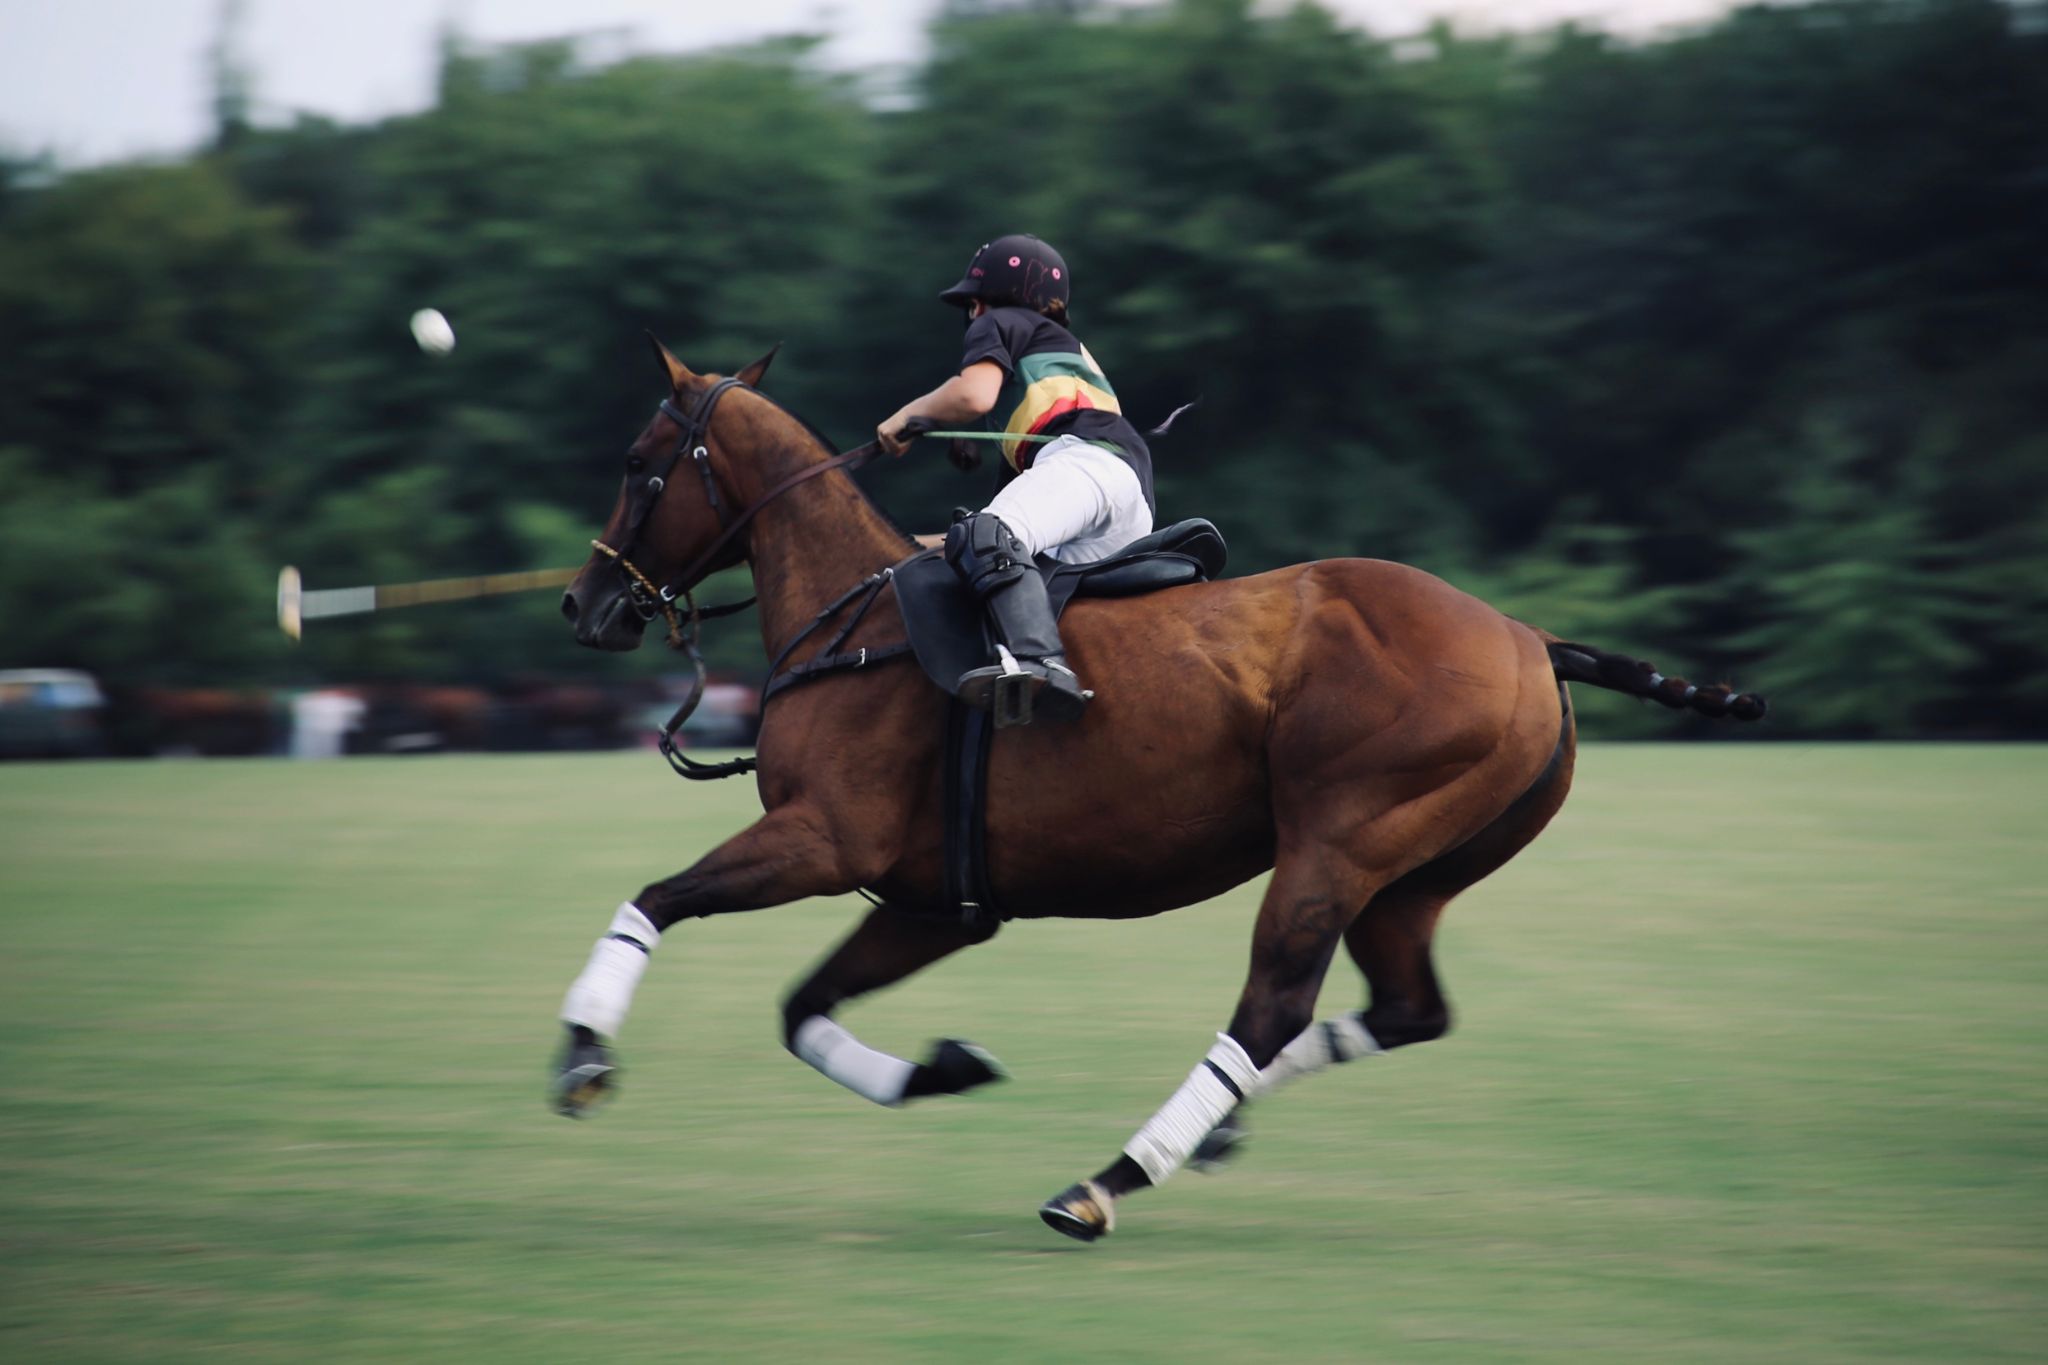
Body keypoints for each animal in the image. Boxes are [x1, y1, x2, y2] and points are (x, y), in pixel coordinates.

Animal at [552, 339, 1767, 1242]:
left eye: (638, 460)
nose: (584, 606)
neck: (851, 619)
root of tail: (1529, 639)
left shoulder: (824, 839)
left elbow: (656, 899)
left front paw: (581, 1055)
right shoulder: (933, 900)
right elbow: (803, 1007)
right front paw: (943, 1069)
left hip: (1339, 841)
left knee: (1272, 1007)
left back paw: (1107, 1180)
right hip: (1415, 873)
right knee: (1405, 1010)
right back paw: (1213, 1133)